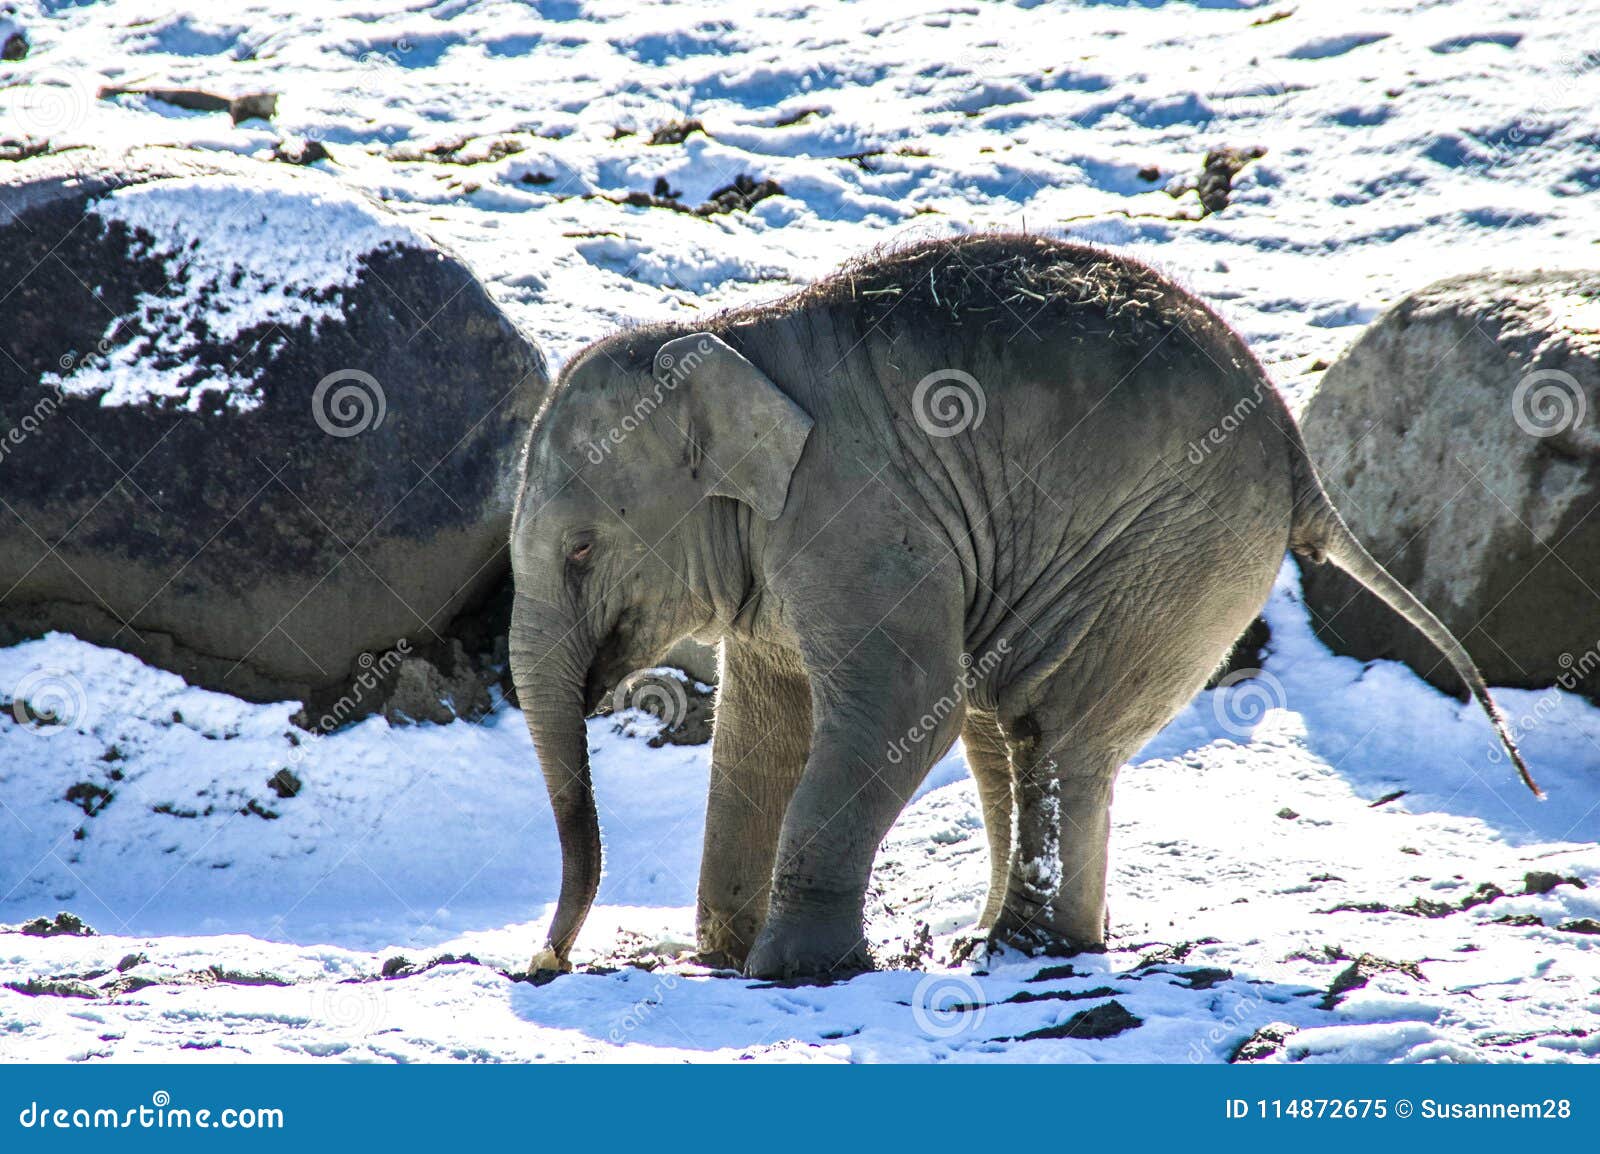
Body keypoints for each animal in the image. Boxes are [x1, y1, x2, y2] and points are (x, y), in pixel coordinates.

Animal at [508, 233, 1535, 981]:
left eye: (582, 549)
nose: (544, 962)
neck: (732, 335)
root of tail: (1295, 447)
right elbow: (764, 726)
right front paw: (720, 961)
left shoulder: (853, 513)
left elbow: (898, 707)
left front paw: (790, 973)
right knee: (1005, 727)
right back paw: (1009, 944)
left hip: (1175, 549)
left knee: (1056, 730)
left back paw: (1026, 951)